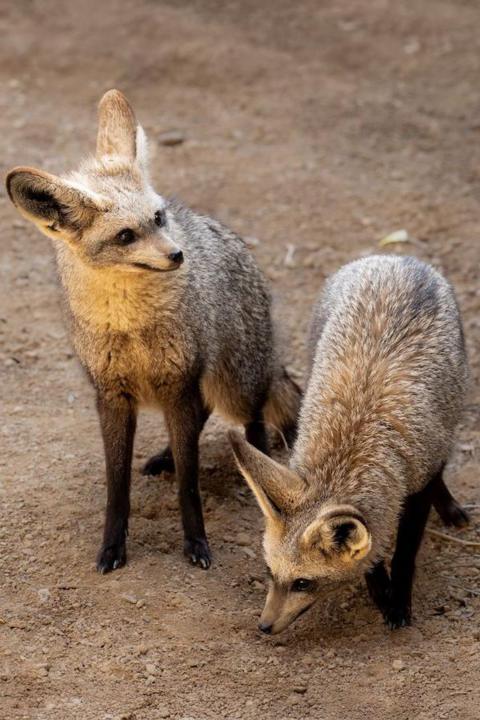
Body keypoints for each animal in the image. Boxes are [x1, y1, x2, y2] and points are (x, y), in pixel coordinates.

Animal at [6, 89, 300, 574]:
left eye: (159, 218)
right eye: (126, 236)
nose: (178, 255)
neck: (133, 328)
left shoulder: (179, 382)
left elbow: (190, 485)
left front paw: (197, 543)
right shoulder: (112, 395)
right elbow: (117, 486)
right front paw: (112, 546)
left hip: (235, 385)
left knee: (254, 420)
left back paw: (254, 463)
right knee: (203, 417)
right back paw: (166, 456)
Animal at [230, 255, 469, 634]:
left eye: (303, 583)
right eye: (269, 572)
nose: (264, 627)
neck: (353, 438)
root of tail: (394, 258)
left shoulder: (418, 479)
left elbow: (404, 551)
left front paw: (398, 599)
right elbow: (373, 549)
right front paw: (379, 588)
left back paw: (449, 507)